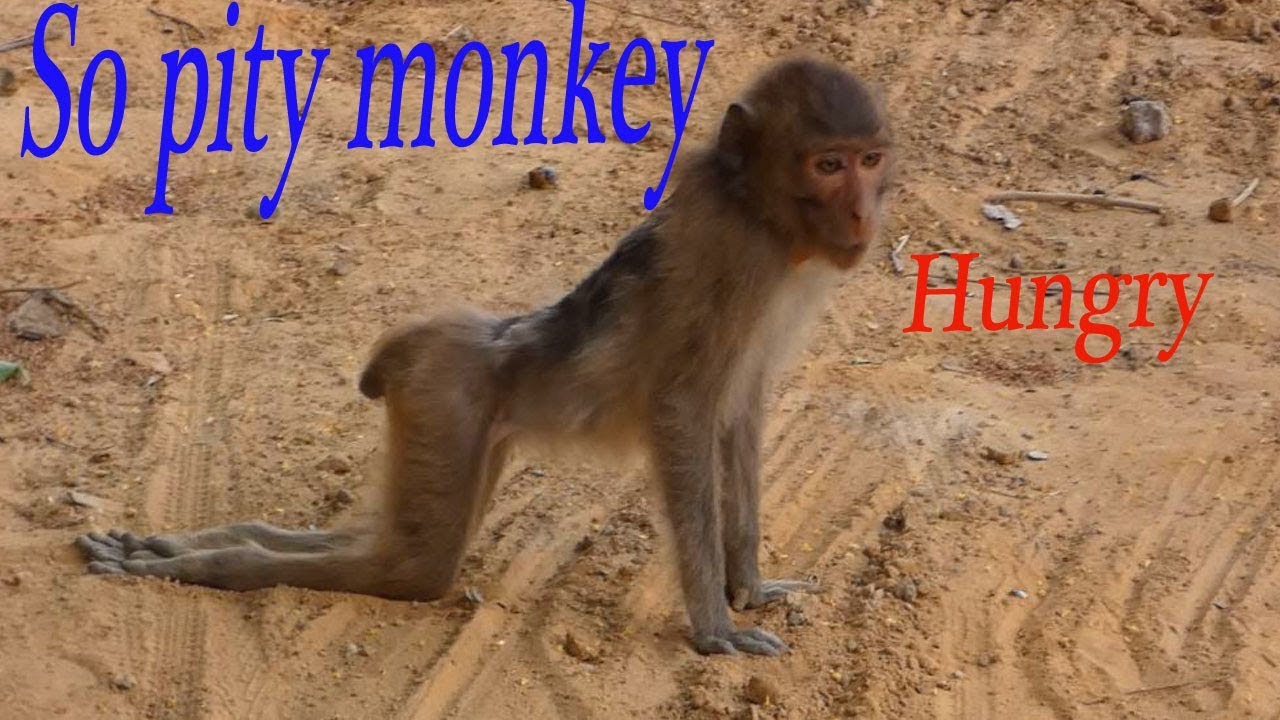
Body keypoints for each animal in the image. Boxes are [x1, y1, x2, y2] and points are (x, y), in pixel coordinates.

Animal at [77, 56, 895, 657]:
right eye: (828, 166)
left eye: (869, 159)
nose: (862, 213)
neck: (755, 208)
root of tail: (426, 341)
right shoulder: (733, 259)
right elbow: (684, 413)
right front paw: (714, 627)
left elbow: (740, 413)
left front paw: (749, 584)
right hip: (445, 401)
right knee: (413, 568)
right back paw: (215, 566)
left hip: (444, 416)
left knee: (385, 542)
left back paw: (204, 546)